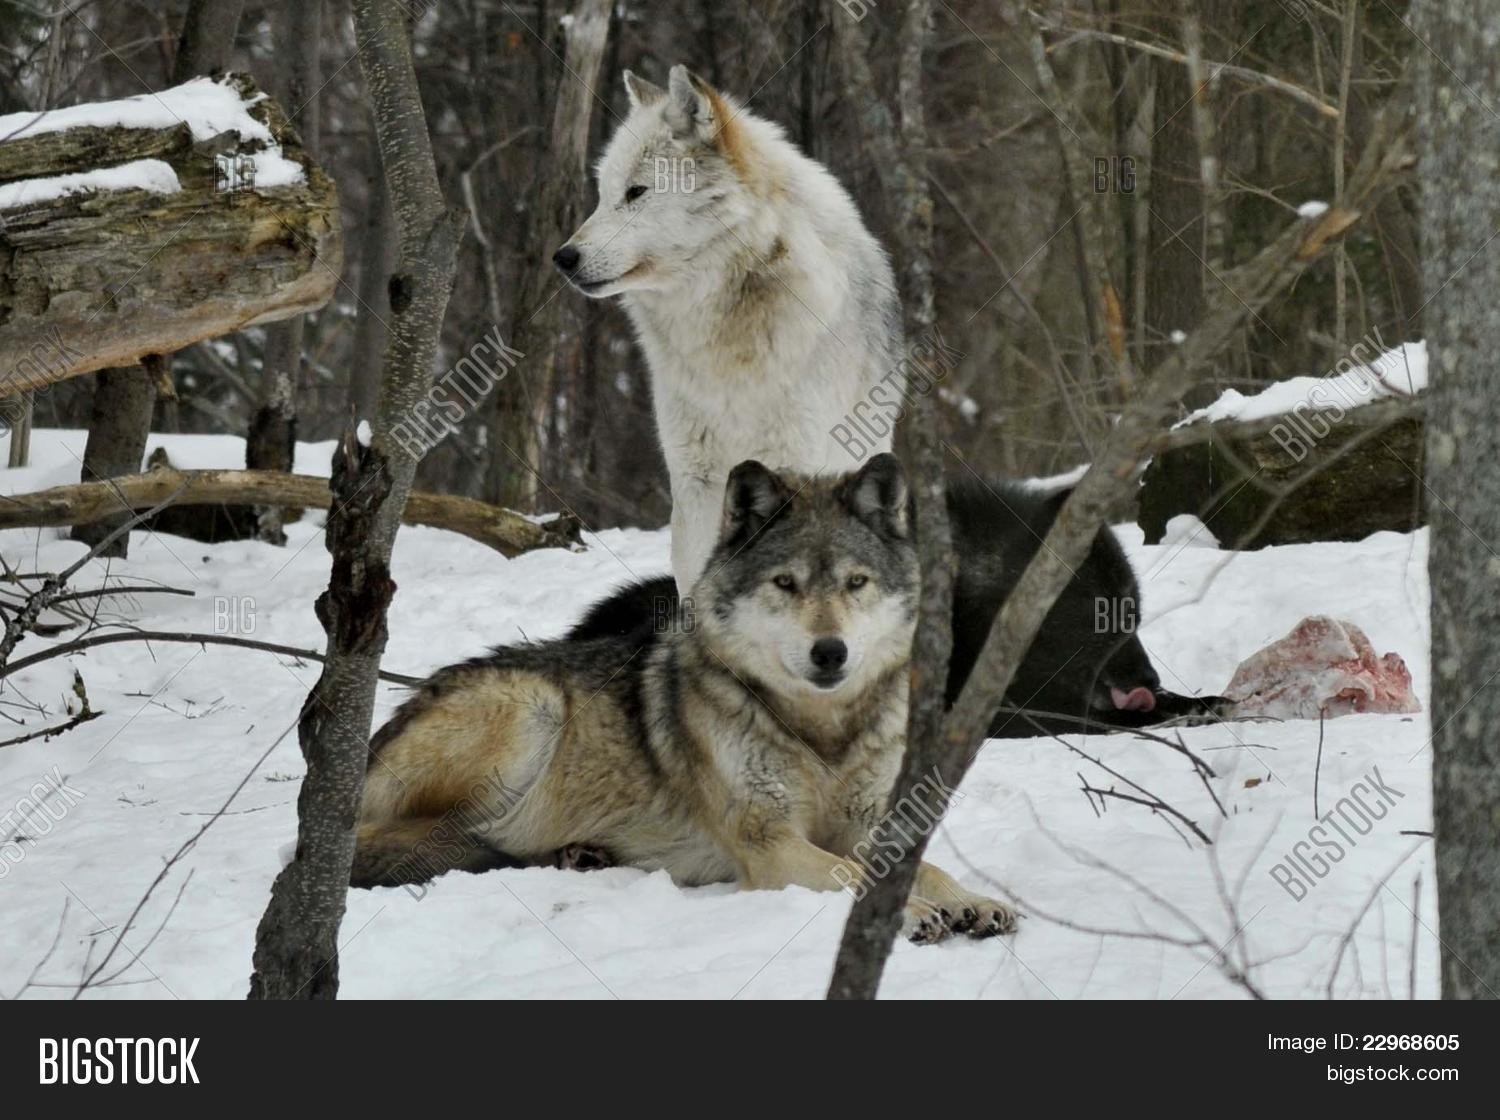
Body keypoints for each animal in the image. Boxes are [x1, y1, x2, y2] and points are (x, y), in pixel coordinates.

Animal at [354, 455, 1017, 944]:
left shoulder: (866, 824)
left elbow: (926, 866)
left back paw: (581, 854)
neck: (819, 734)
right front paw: (914, 914)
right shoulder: (769, 844)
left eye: (857, 583)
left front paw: (973, 900)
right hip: (531, 712)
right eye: (786, 584)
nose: (831, 652)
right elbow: (849, 874)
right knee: (383, 841)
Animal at [569, 474, 1228, 738]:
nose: (1150, 677)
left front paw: (1206, 701)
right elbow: (1110, 721)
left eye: (1133, 616)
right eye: (1103, 617)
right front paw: (1174, 714)